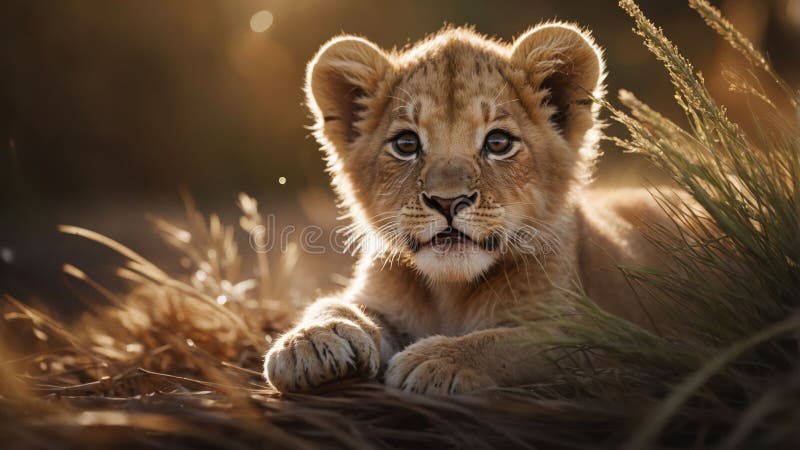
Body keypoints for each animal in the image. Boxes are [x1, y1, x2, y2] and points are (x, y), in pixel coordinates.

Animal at [264, 22, 681, 394]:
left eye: (498, 143)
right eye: (406, 144)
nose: (448, 201)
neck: (451, 290)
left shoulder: (608, 337)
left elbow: (523, 342)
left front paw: (439, 358)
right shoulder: (379, 299)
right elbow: (335, 303)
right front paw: (310, 340)